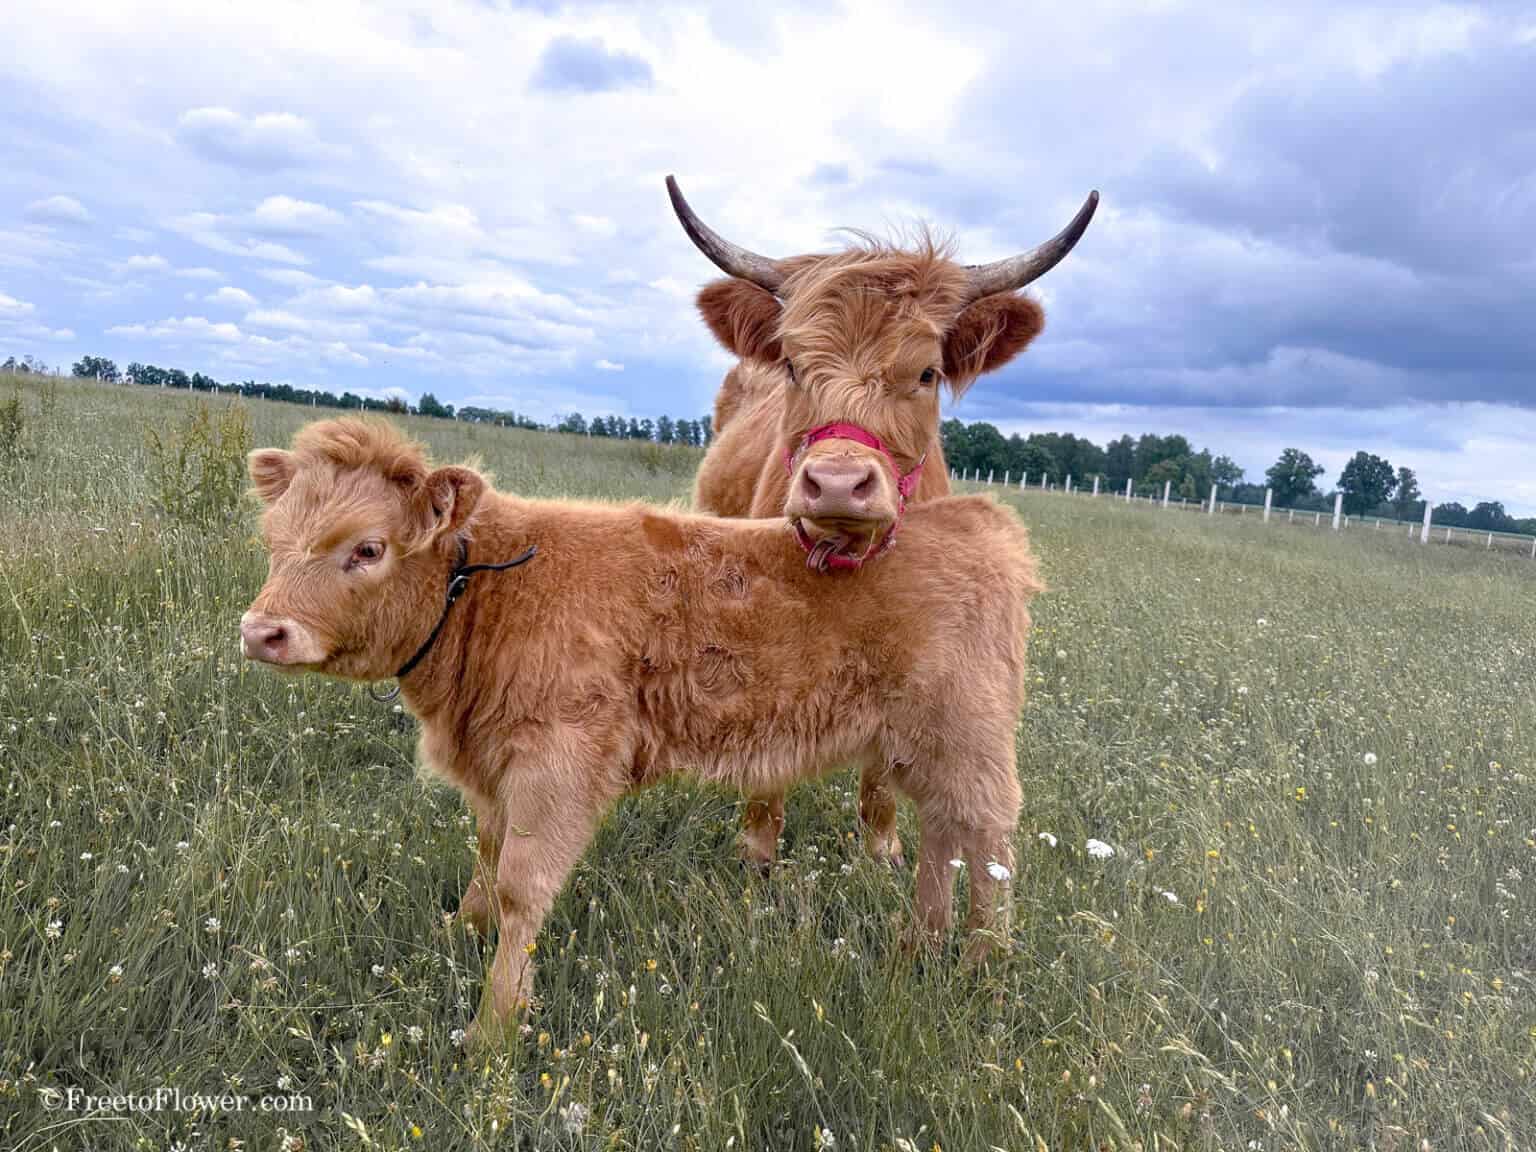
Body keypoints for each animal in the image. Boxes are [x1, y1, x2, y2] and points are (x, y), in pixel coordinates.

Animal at [240, 417, 1041, 1043]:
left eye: (368, 548)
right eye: (272, 539)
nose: (261, 632)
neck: (488, 593)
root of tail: (976, 516)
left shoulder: (559, 760)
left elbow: (520, 887)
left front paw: (494, 1028)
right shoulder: (495, 768)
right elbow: (486, 859)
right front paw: (459, 933)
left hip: (968, 740)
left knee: (989, 844)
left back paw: (986, 970)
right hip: (918, 749)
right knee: (943, 835)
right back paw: (920, 948)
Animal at [667, 176, 1094, 868]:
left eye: (927, 373)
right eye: (793, 366)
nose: (838, 483)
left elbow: (886, 770)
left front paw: (882, 848)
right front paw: (757, 850)